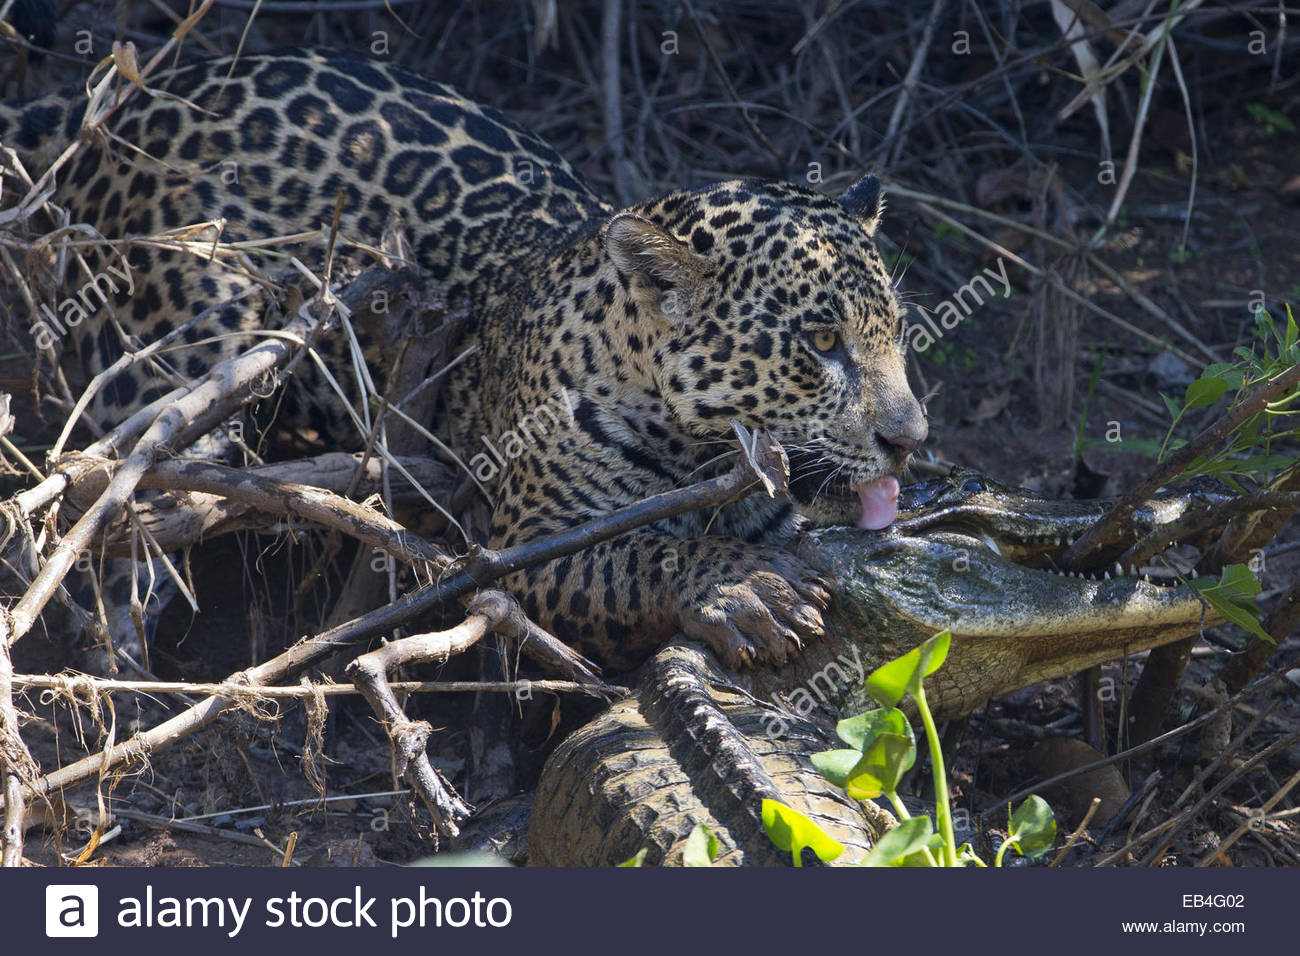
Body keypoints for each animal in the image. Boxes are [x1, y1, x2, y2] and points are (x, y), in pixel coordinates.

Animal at [0, 48, 927, 672]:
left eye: (894, 332)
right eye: (821, 343)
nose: (911, 440)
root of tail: (151, 92)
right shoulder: (530, 540)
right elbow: (640, 556)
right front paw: (743, 590)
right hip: (182, 370)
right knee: (121, 526)